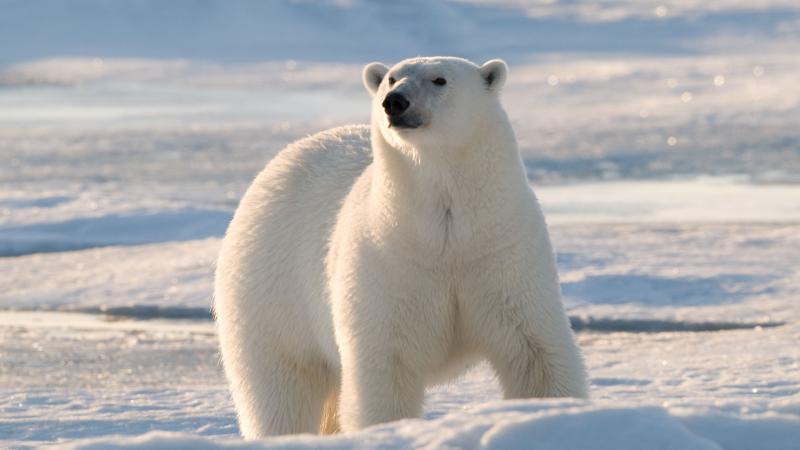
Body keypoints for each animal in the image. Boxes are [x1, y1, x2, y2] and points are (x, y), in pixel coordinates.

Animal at [214, 56, 589, 439]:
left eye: (440, 79)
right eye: (391, 78)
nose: (394, 102)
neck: (445, 235)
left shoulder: (502, 251)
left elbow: (534, 350)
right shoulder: (388, 263)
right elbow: (385, 367)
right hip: (272, 293)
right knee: (282, 389)